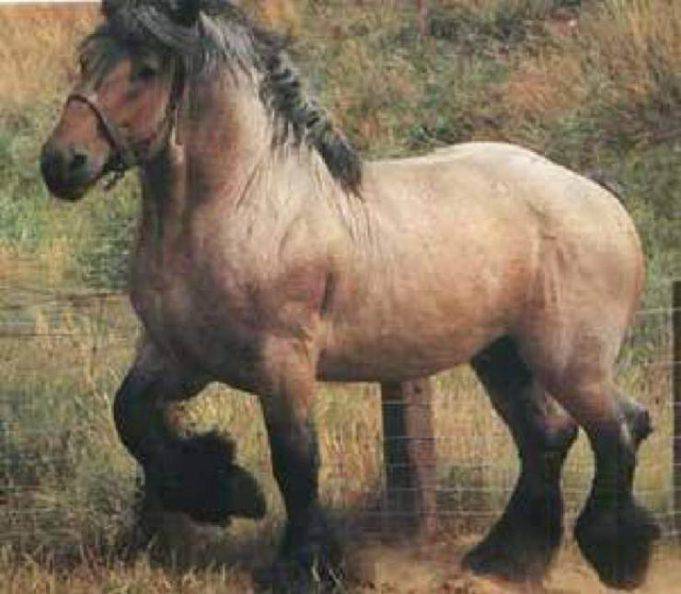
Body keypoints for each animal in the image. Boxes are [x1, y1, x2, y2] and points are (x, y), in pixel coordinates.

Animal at [40, 0, 660, 590]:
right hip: (502, 356)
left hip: (569, 361)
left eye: (145, 70)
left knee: (618, 429)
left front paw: (302, 567)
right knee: (548, 436)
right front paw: (226, 492)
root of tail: (598, 196)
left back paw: (617, 555)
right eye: (85, 59)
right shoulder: (177, 357)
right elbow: (133, 418)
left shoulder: (283, 362)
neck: (240, 201)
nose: (61, 163)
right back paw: (503, 560)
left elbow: (295, 461)